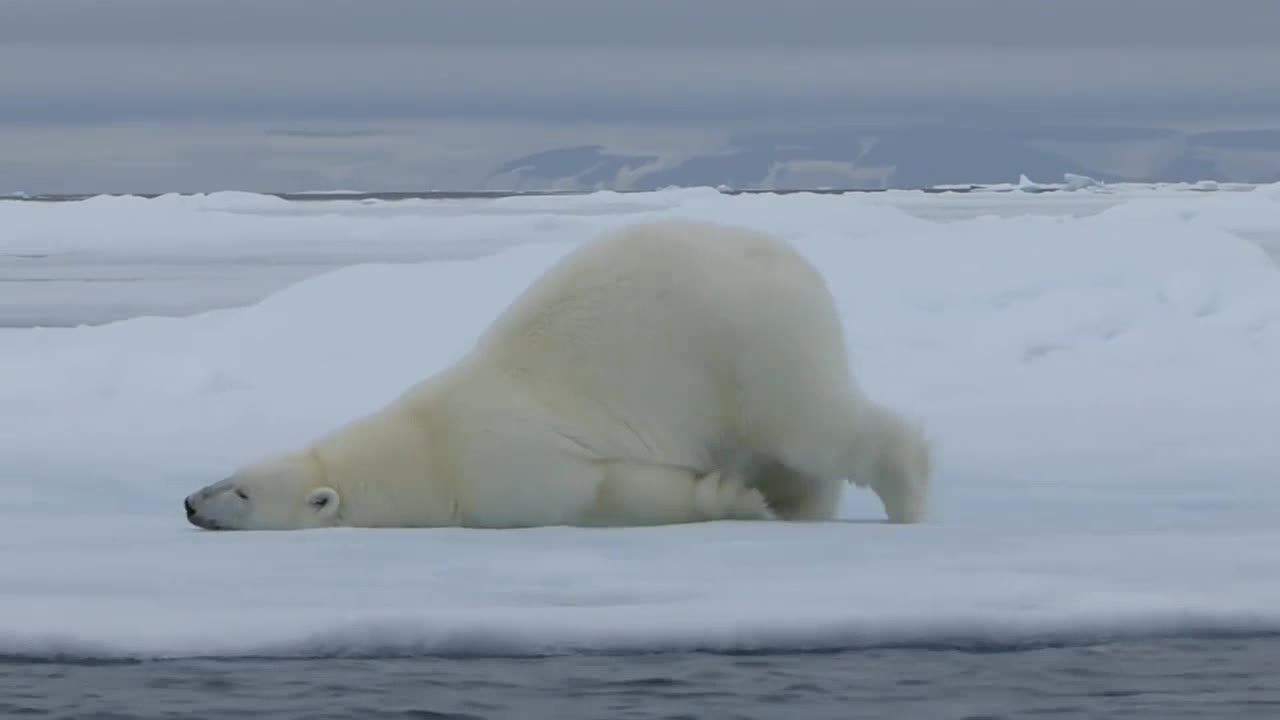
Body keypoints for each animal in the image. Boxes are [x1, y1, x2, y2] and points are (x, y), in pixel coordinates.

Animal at [183, 219, 932, 531]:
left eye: (241, 493)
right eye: (228, 473)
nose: (190, 501)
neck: (422, 449)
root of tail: (792, 262)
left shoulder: (505, 464)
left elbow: (608, 490)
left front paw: (731, 499)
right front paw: (751, 500)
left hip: (747, 342)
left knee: (813, 425)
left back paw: (906, 494)